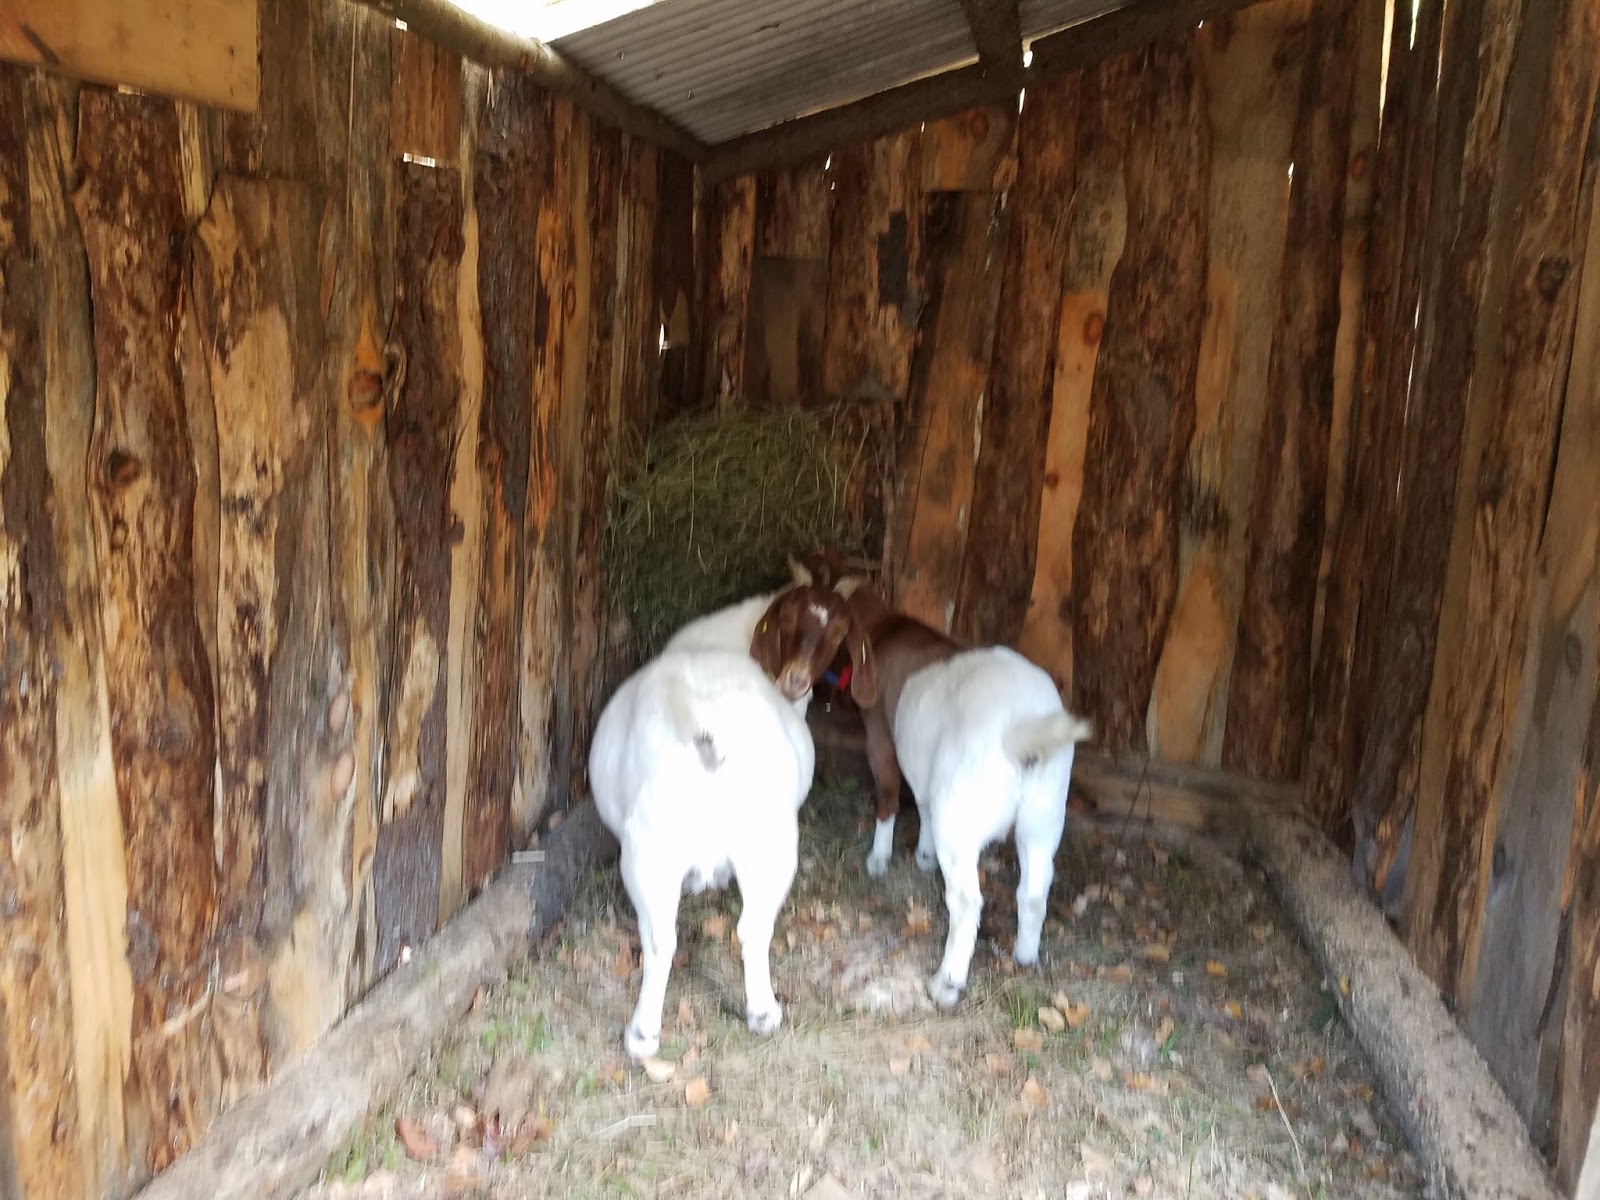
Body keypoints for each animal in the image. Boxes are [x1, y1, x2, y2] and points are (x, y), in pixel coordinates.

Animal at [589, 585, 876, 1059]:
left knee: (673, 937)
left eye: (838, 633)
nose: (795, 682)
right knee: (740, 929)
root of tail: (705, 733)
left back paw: (656, 1031)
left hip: (662, 849)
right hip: (762, 843)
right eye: (788, 620)